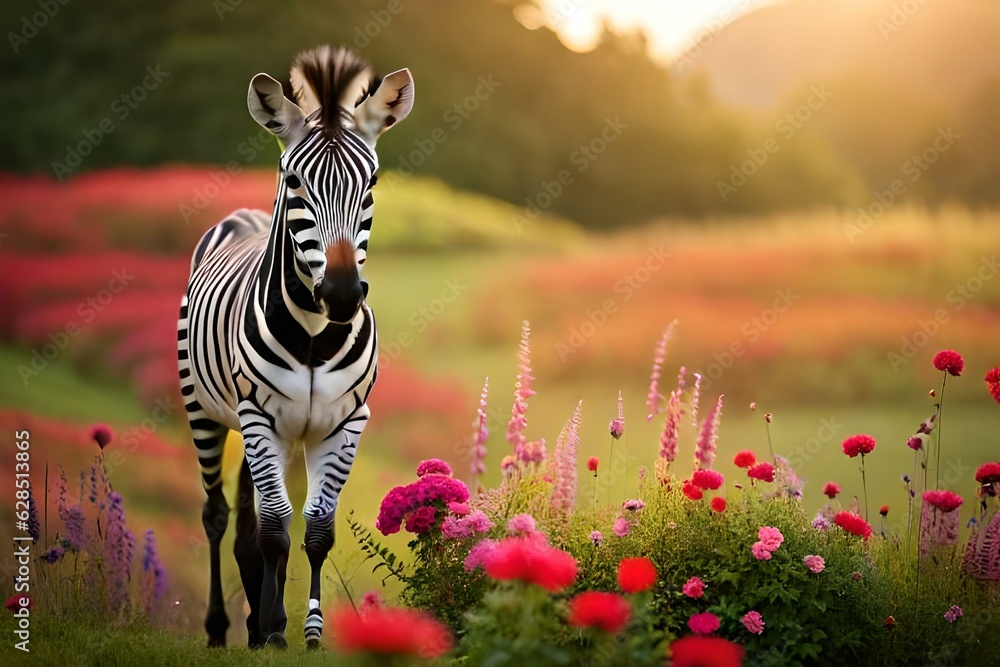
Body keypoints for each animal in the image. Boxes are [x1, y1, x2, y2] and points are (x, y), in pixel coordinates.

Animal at [177, 45, 413, 649]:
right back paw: (222, 629)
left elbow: (315, 529)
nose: (342, 293)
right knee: (218, 515)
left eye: (372, 182)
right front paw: (273, 631)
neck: (312, 335)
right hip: (208, 413)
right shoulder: (259, 415)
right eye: (294, 179)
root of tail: (244, 217)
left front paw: (305, 629)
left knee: (249, 518)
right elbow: (276, 529)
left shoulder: (344, 421)